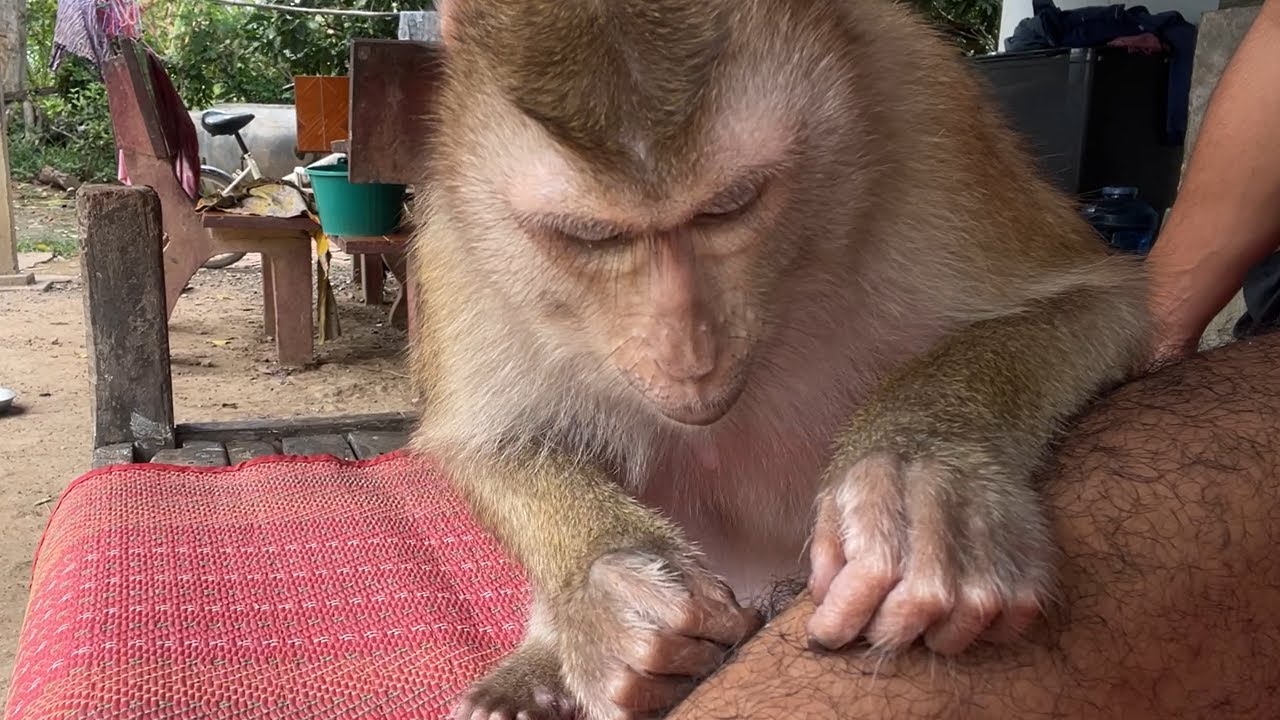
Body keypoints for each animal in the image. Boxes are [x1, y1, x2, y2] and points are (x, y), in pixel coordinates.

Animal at [407, 0, 1151, 718]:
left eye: (729, 207)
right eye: (591, 236)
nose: (688, 356)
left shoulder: (929, 116)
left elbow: (1098, 307)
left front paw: (916, 470)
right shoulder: (459, 240)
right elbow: (485, 444)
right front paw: (603, 583)